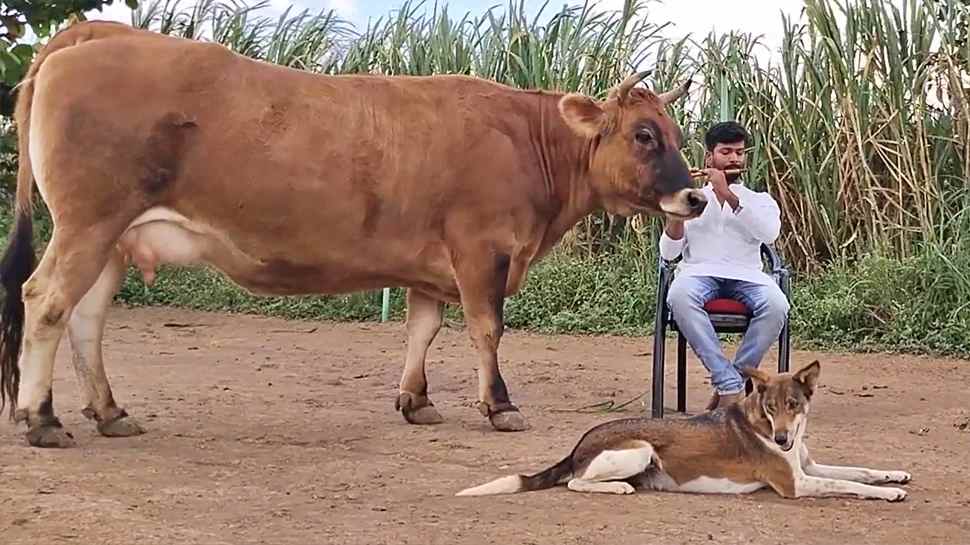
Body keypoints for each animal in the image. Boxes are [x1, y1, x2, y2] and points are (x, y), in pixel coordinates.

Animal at [0, 20, 706, 449]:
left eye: (675, 132)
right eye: (645, 135)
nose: (696, 196)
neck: (526, 142)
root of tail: (100, 31)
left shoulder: (431, 265)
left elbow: (423, 329)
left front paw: (416, 400)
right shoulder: (482, 250)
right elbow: (487, 330)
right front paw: (500, 406)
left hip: (114, 238)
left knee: (86, 319)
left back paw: (109, 413)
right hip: (88, 223)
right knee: (46, 303)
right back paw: (41, 418)